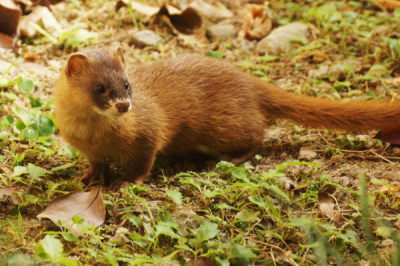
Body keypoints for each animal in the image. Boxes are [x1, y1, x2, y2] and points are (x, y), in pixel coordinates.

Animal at [54, 47, 400, 189]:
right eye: (100, 87)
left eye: (126, 84)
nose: (125, 106)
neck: (95, 135)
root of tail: (247, 79)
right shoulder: (90, 149)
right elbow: (97, 165)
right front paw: (86, 177)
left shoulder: (148, 134)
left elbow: (143, 163)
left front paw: (125, 182)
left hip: (224, 127)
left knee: (257, 134)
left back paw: (226, 160)